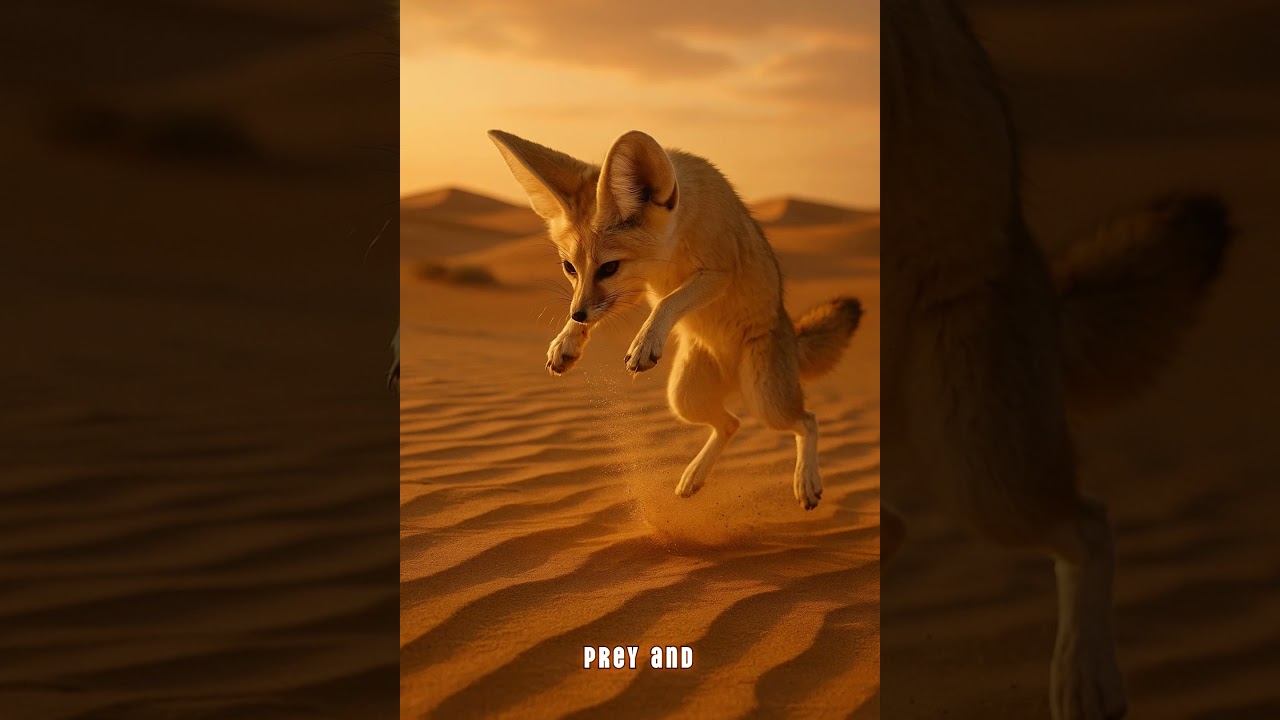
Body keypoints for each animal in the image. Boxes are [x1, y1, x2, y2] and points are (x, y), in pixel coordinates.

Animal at [487, 129, 862, 509]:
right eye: (569, 268)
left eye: (608, 267)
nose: (576, 313)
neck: (676, 240)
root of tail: (792, 335)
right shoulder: (635, 286)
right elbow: (626, 306)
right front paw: (567, 341)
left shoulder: (717, 275)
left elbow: (669, 301)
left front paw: (644, 342)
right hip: (684, 399)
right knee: (732, 424)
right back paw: (693, 478)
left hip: (766, 402)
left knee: (808, 421)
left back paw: (806, 481)